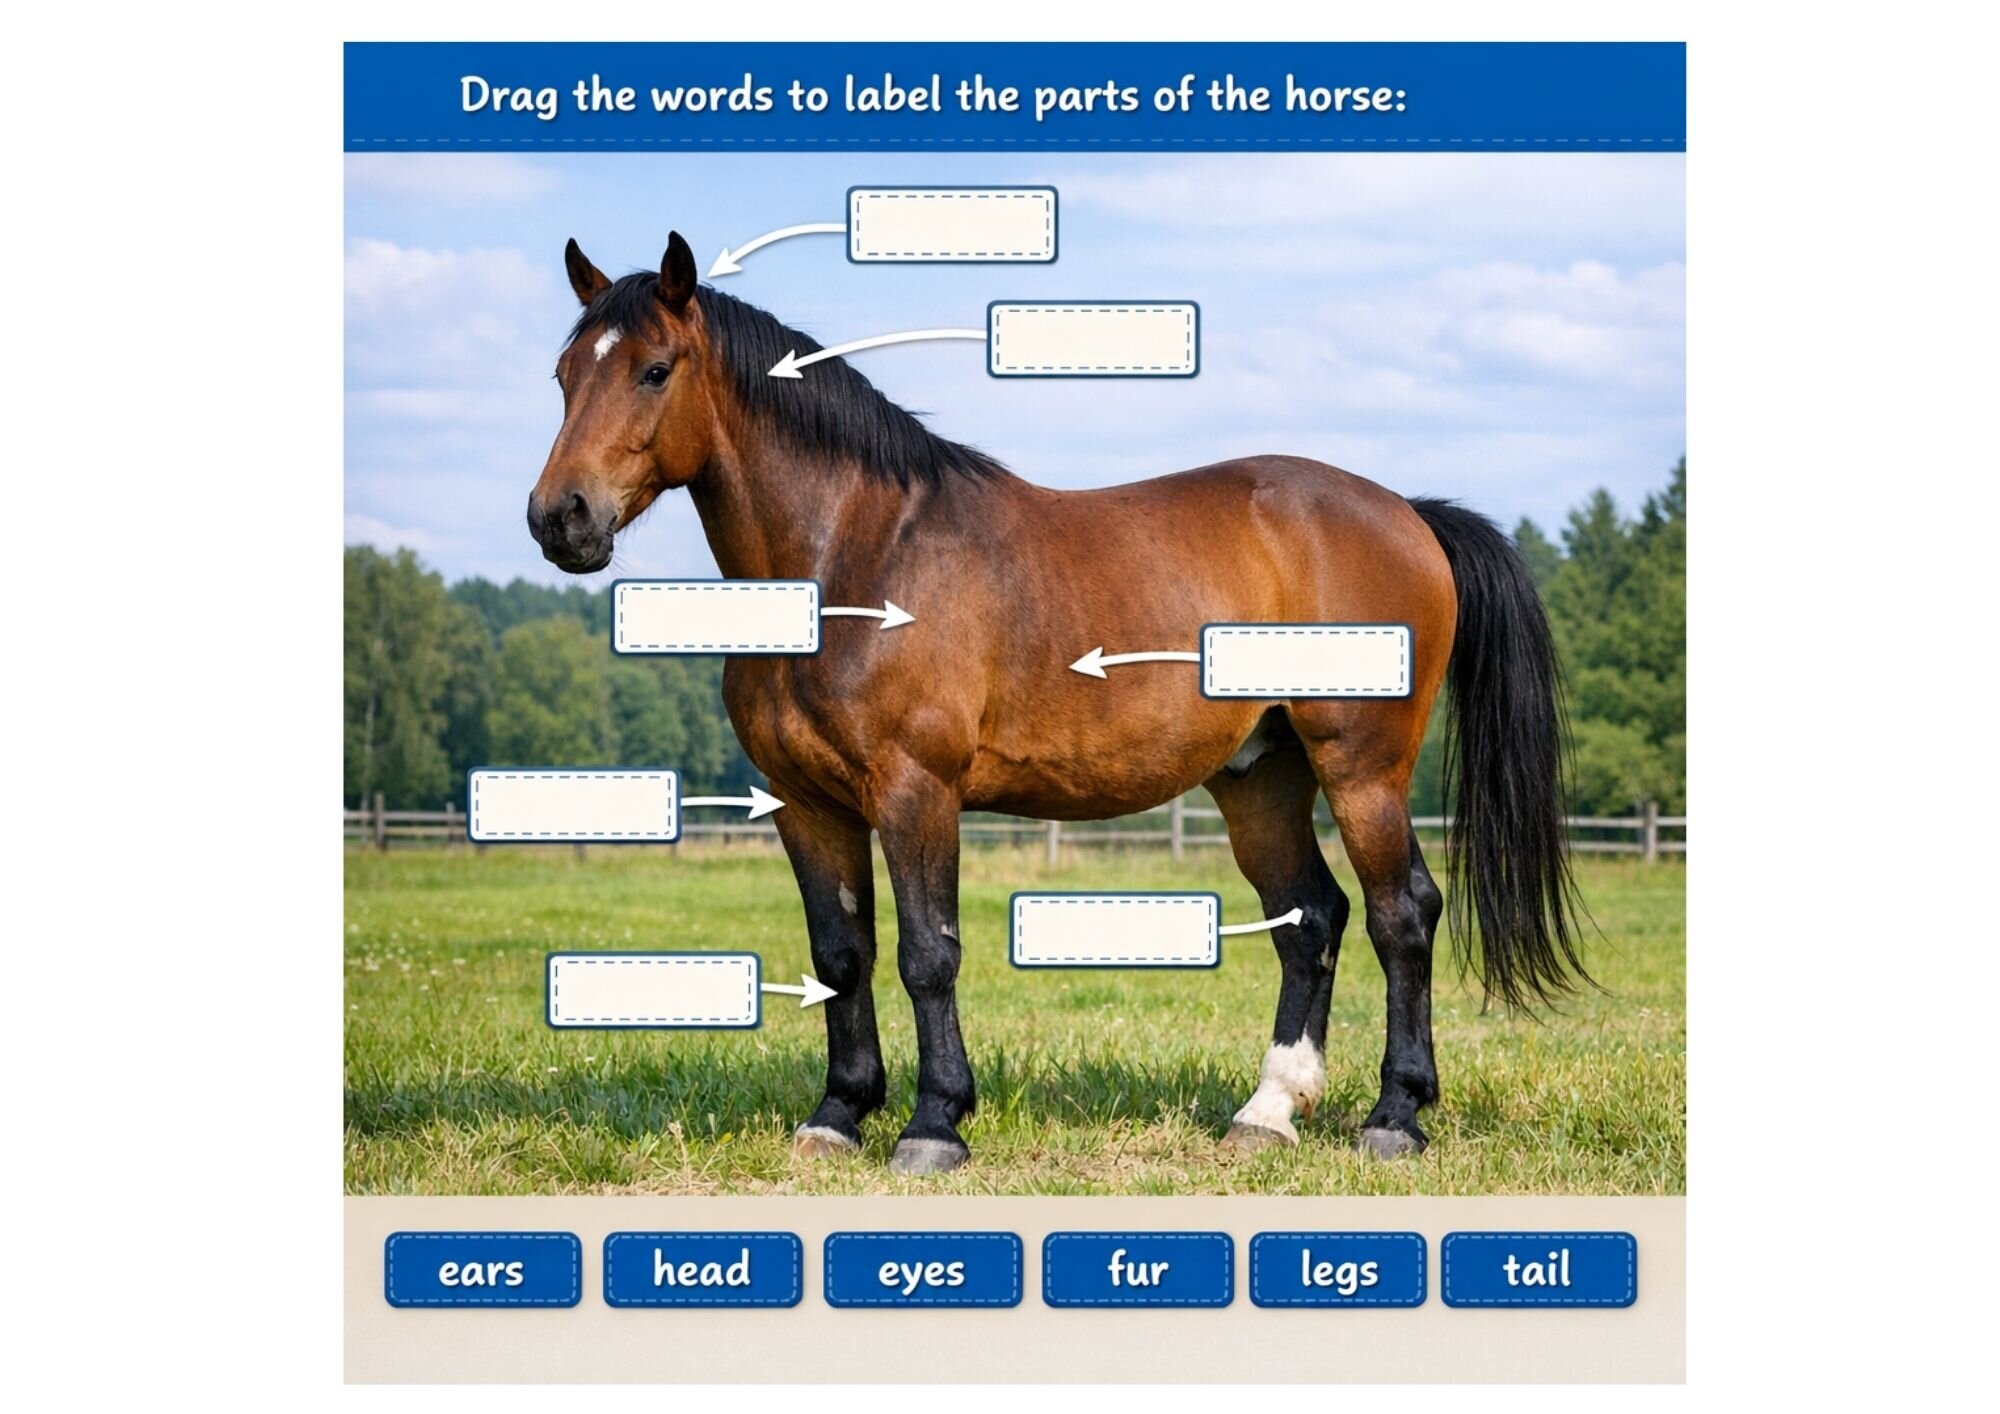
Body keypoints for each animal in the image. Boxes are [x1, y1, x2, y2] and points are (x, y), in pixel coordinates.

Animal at [527, 232, 1585, 1175]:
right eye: (565, 375)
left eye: (655, 370)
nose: (559, 519)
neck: (854, 556)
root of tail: (1408, 514)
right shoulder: (806, 805)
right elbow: (841, 954)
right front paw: (838, 1116)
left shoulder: (916, 792)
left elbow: (926, 953)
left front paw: (935, 1126)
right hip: (1262, 775)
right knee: (1311, 918)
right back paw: (1268, 1113)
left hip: (1361, 768)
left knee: (1402, 913)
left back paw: (1395, 1117)